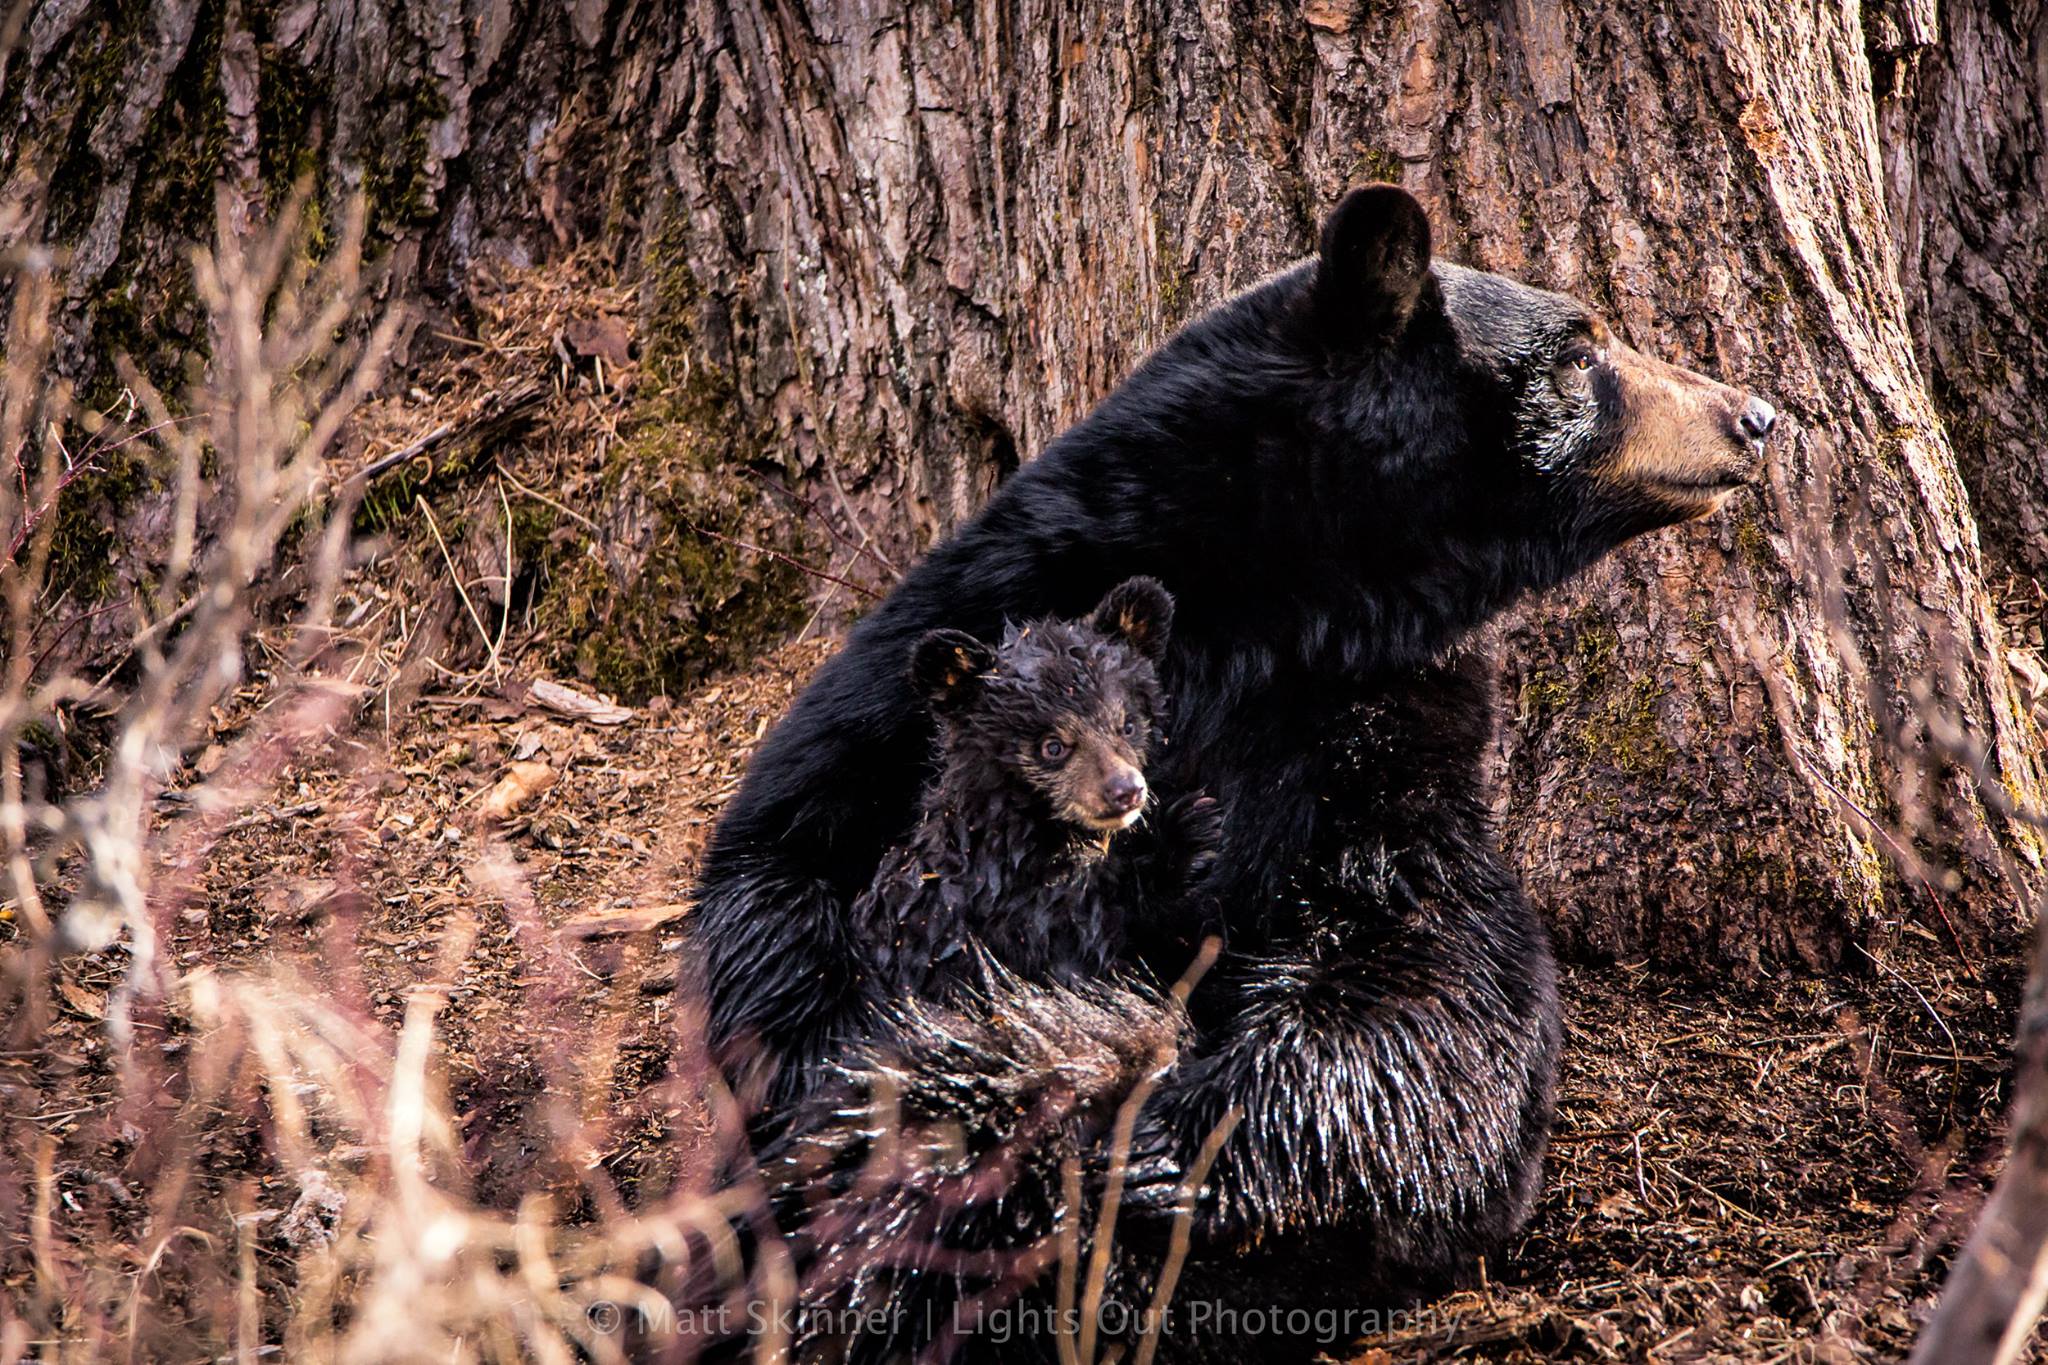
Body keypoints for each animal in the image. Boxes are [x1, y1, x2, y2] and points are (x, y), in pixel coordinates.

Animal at [852, 576, 1223, 1003]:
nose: (1127, 791)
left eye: (1127, 725)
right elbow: (1082, 939)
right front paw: (1189, 827)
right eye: (1053, 746)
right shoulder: (1006, 911)